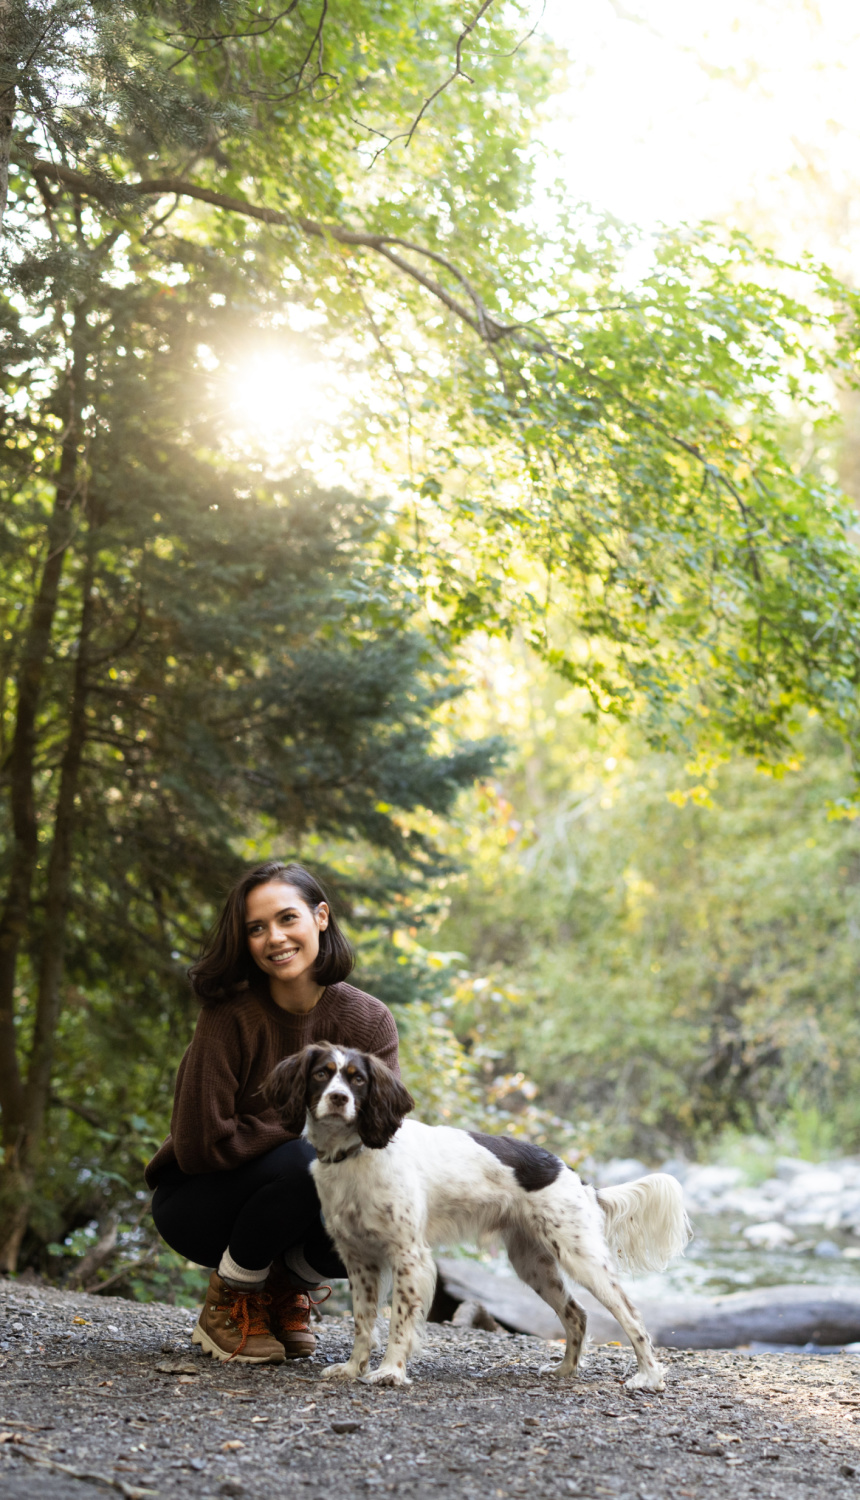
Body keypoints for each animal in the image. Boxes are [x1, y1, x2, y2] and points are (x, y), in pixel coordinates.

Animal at [262, 1044, 690, 1380]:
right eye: (321, 1074)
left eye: (358, 1080)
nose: (338, 1098)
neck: (356, 1153)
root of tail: (575, 1176)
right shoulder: (359, 1259)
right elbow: (364, 1323)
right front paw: (353, 1369)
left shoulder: (409, 1255)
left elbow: (400, 1320)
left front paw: (390, 1372)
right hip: (533, 1264)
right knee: (577, 1313)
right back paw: (565, 1370)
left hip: (580, 1256)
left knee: (631, 1315)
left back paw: (649, 1377)